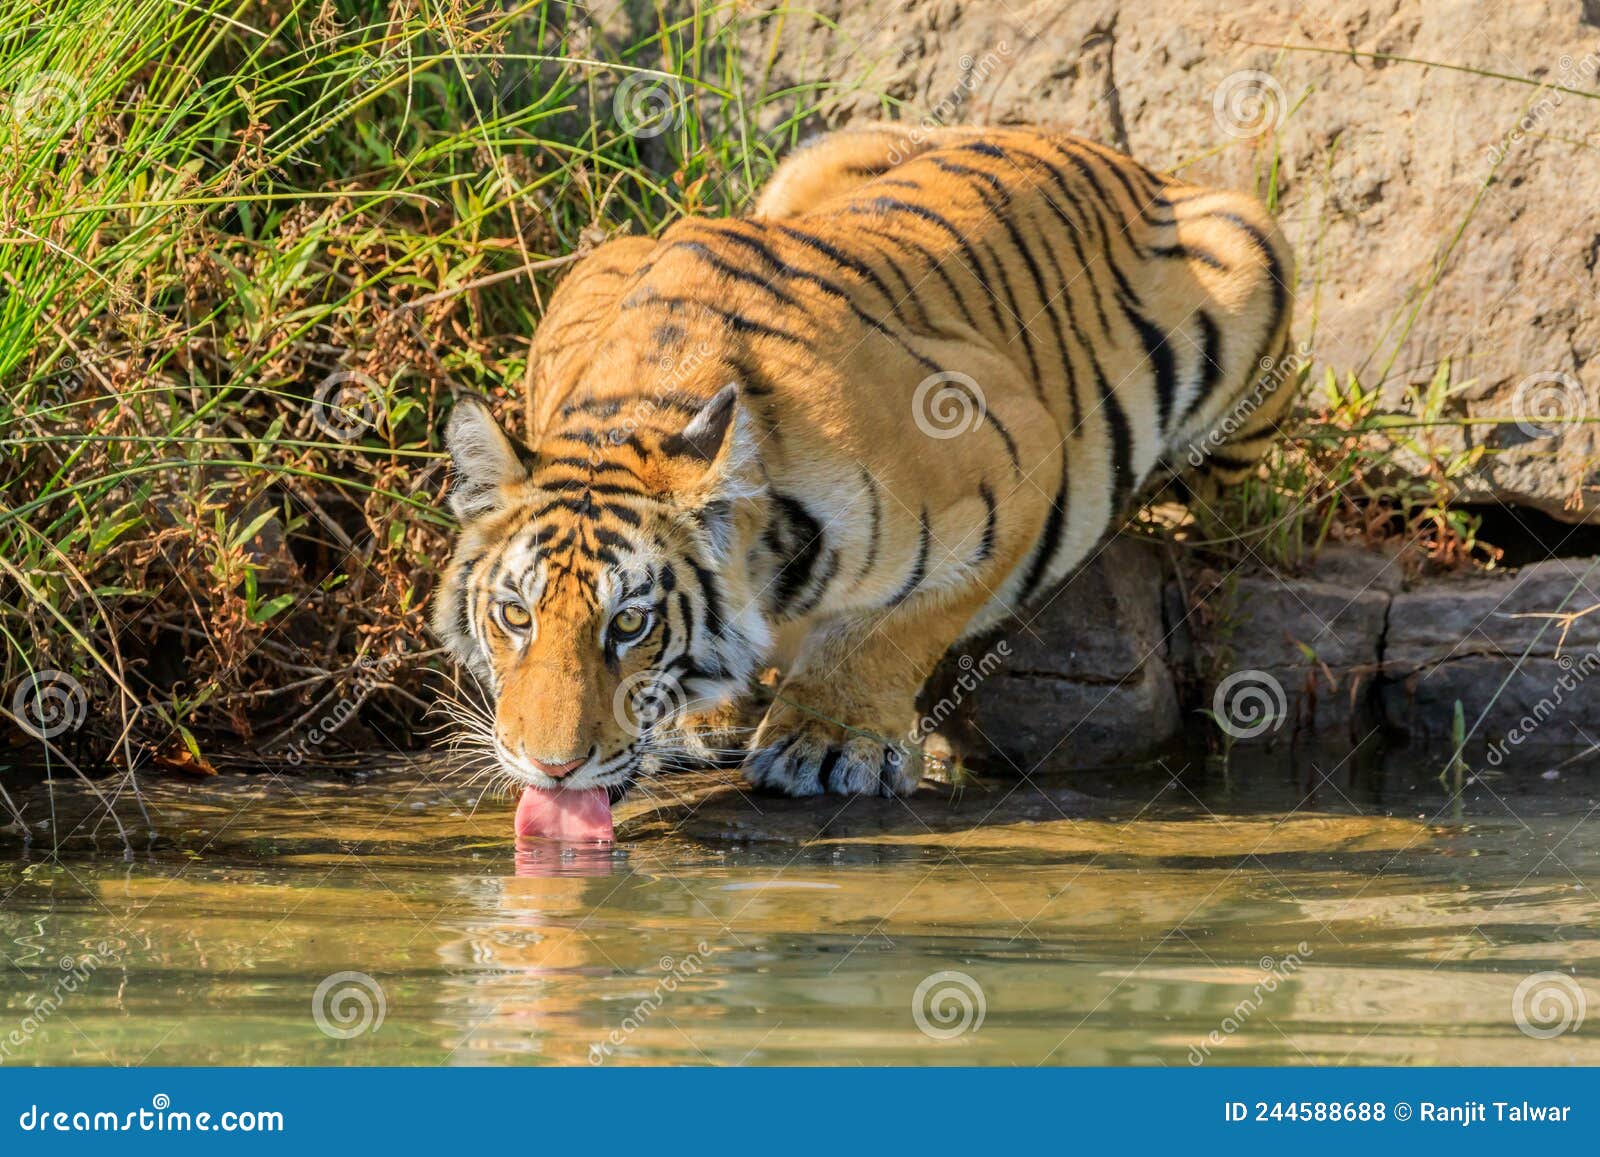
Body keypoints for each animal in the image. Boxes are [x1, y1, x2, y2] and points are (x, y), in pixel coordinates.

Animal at [432, 124, 1294, 821]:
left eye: (630, 624)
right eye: (515, 615)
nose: (551, 766)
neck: (635, 413)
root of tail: (1126, 160)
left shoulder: (1013, 449)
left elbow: (895, 624)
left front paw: (826, 738)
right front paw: (708, 717)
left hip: (1251, 275)